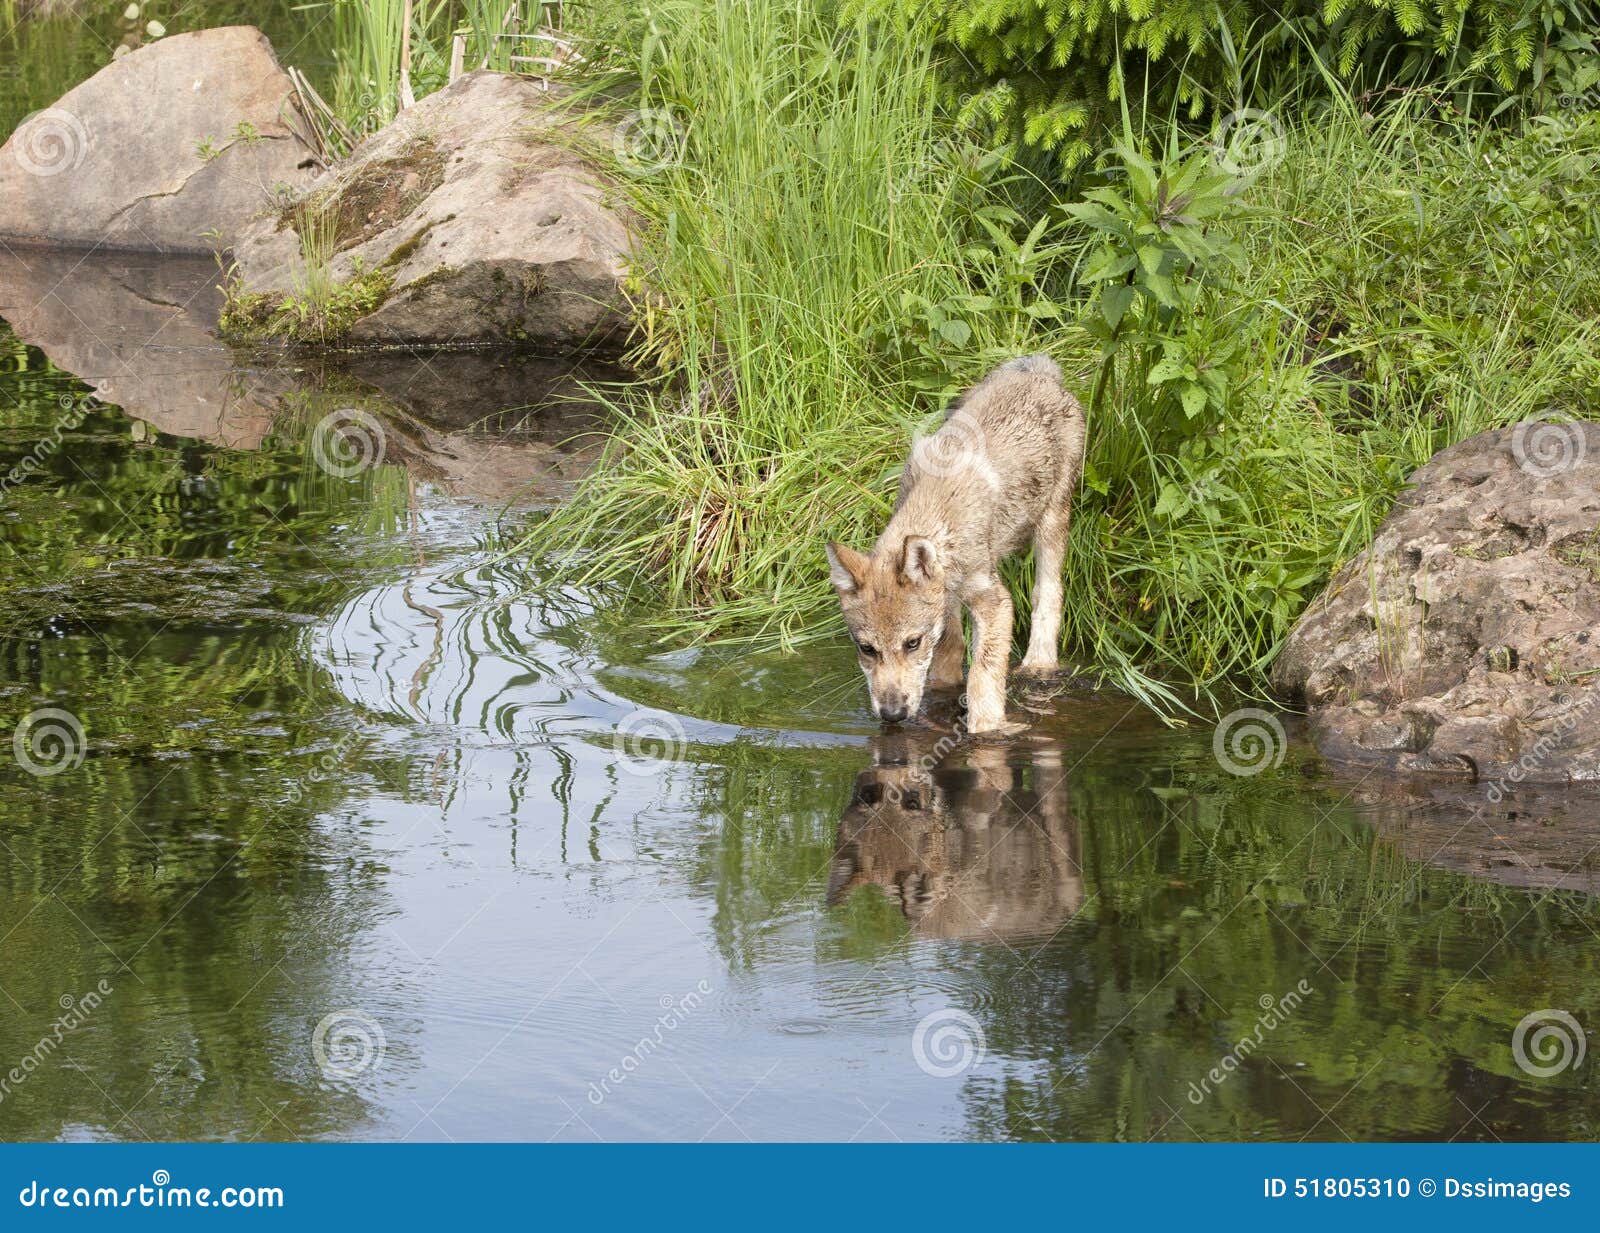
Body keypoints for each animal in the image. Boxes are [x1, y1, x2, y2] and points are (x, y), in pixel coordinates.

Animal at [825, 355, 1087, 734]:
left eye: (912, 643)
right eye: (867, 648)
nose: (892, 714)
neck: (941, 511)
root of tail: (1038, 370)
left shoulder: (994, 600)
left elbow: (983, 673)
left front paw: (986, 728)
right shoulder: (946, 601)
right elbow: (950, 648)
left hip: (1052, 520)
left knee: (1048, 593)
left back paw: (1038, 664)